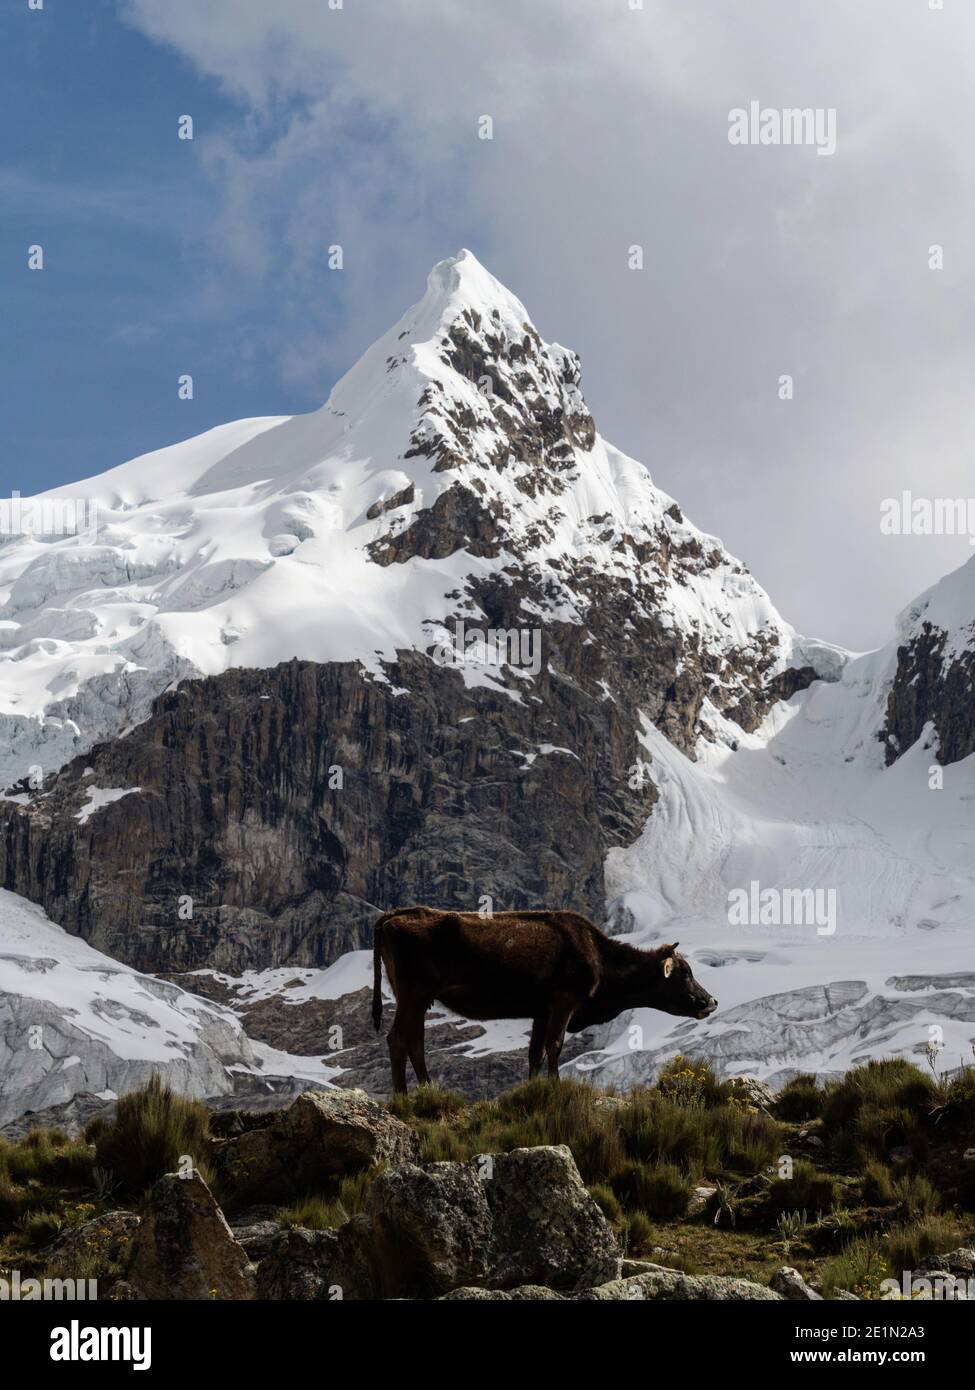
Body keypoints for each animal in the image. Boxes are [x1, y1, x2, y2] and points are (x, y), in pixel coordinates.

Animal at [372, 906, 718, 1094]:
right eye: (684, 973)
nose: (711, 1001)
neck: (598, 956)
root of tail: (395, 915)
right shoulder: (564, 1002)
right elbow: (555, 1045)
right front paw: (555, 1085)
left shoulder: (541, 1012)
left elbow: (534, 1054)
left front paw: (533, 1087)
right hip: (414, 995)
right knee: (400, 1040)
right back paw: (406, 1095)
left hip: (415, 999)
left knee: (412, 1041)